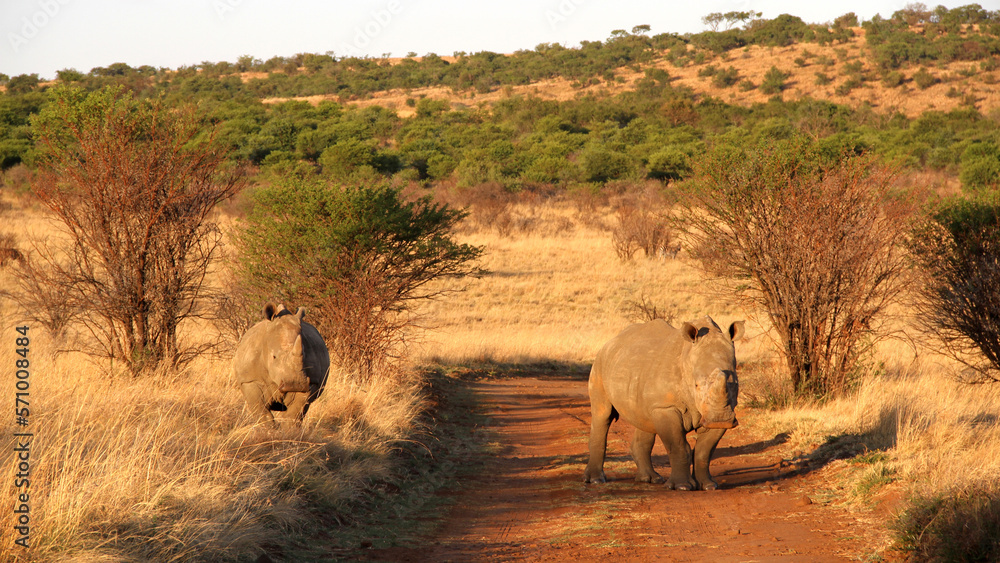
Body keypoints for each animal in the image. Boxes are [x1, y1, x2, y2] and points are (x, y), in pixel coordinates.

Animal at [584, 316, 744, 490]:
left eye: (735, 384)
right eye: (696, 385)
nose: (720, 419)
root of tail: (609, 343)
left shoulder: (715, 412)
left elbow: (704, 451)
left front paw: (708, 486)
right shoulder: (665, 407)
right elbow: (679, 447)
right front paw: (682, 487)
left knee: (644, 420)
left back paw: (650, 479)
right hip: (600, 364)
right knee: (602, 414)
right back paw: (596, 480)